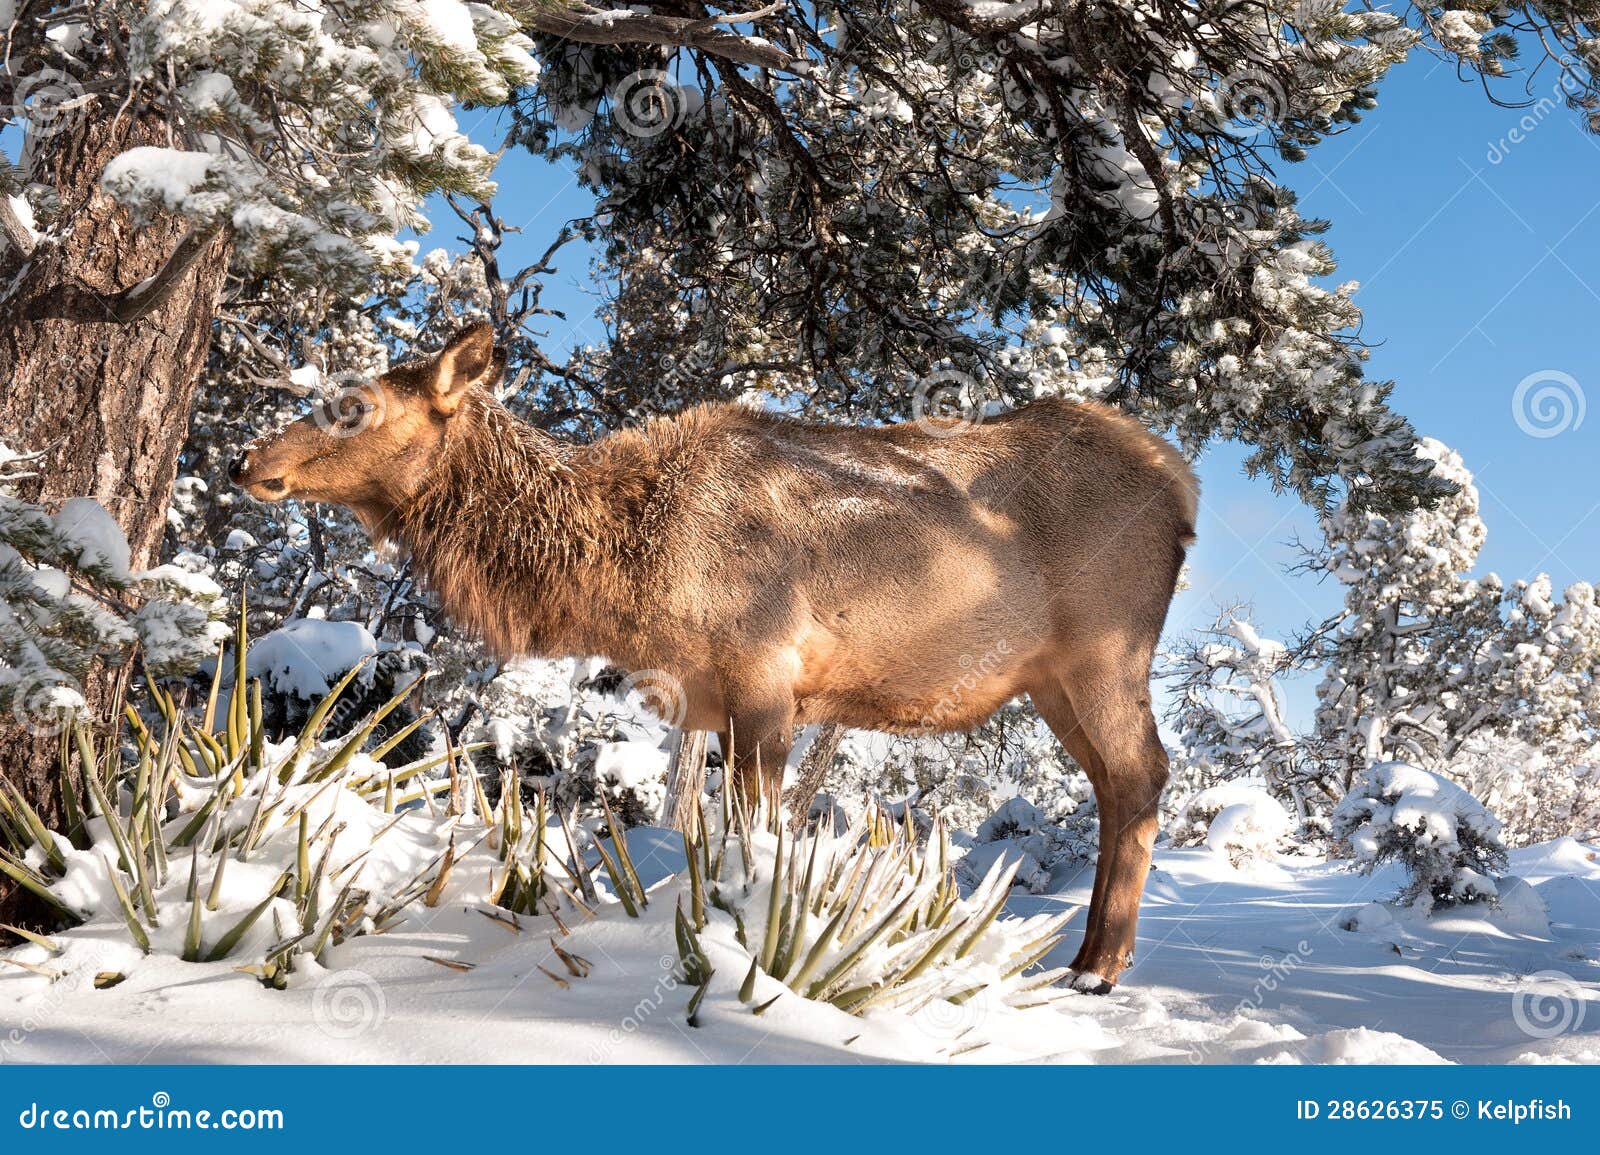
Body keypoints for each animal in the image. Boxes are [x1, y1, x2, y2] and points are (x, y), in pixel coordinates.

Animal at [230, 322, 1198, 991]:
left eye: (355, 406)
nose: (247, 459)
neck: (619, 569)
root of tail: (1184, 486)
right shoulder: (706, 694)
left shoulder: (766, 671)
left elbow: (756, 831)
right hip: (1052, 679)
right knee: (1116, 786)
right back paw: (1082, 956)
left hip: (1106, 650)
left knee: (1144, 771)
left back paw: (1099, 967)